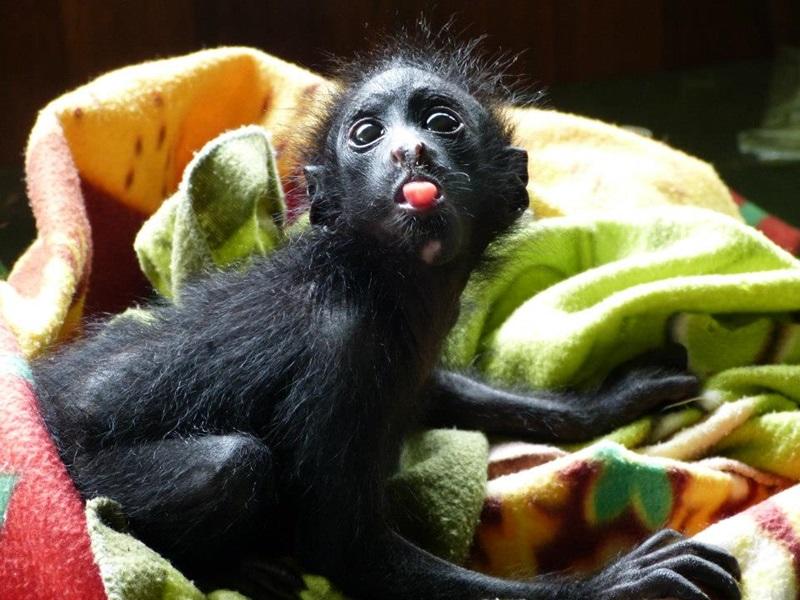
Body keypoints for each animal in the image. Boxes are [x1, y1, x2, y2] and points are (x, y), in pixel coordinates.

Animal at [32, 34, 742, 600]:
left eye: (442, 122)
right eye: (367, 134)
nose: (411, 152)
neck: (370, 278)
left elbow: (432, 389)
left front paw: (610, 400)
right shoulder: (339, 344)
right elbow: (344, 548)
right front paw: (616, 583)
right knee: (230, 462)